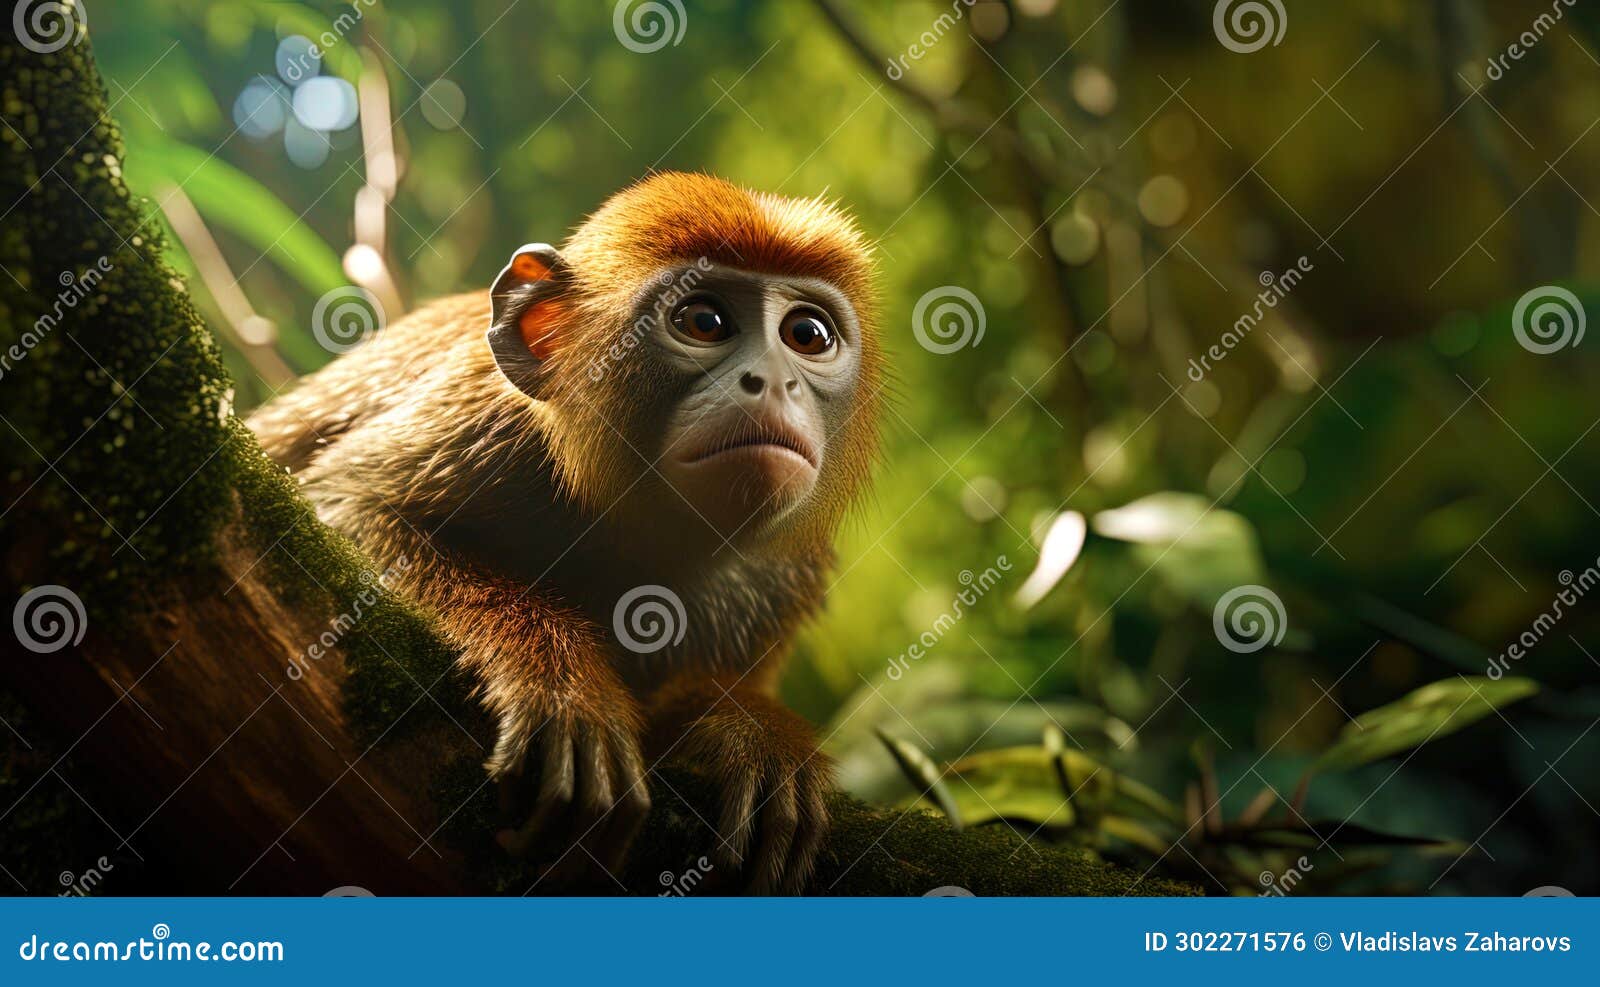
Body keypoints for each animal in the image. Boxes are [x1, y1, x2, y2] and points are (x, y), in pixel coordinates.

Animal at [248, 172, 883, 894]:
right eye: (704, 322)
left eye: (807, 334)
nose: (771, 381)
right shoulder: (494, 421)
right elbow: (346, 506)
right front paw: (564, 683)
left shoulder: (781, 575)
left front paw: (749, 728)